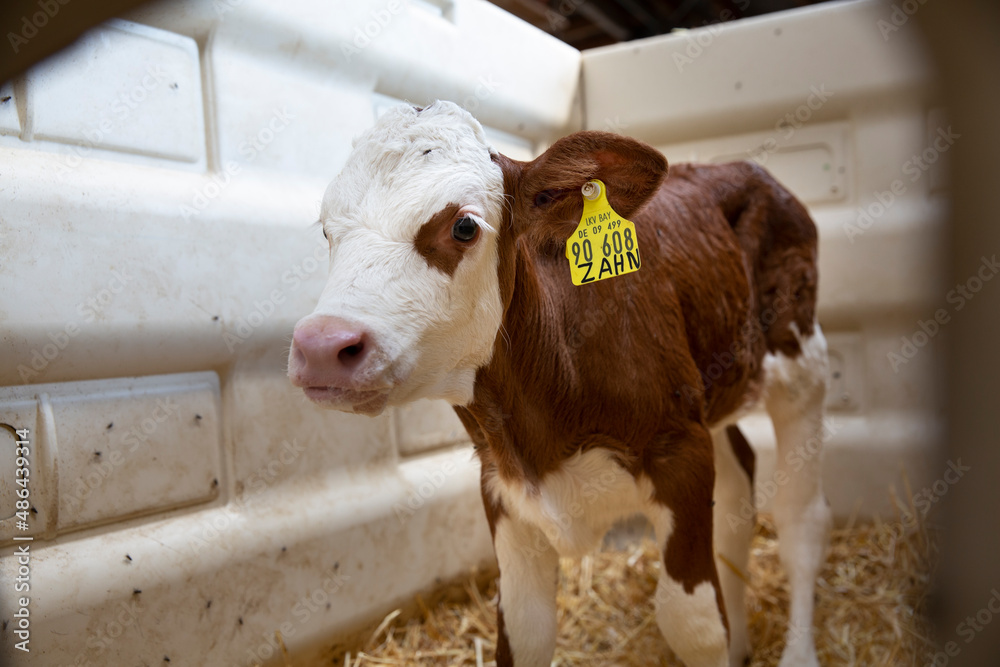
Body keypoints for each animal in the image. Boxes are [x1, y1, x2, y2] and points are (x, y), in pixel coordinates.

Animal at [288, 100, 831, 667]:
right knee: (737, 489)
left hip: (802, 362)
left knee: (801, 521)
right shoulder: (502, 483)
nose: (323, 347)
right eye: (326, 231)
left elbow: (693, 624)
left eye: (464, 227)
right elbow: (524, 632)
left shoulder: (679, 450)